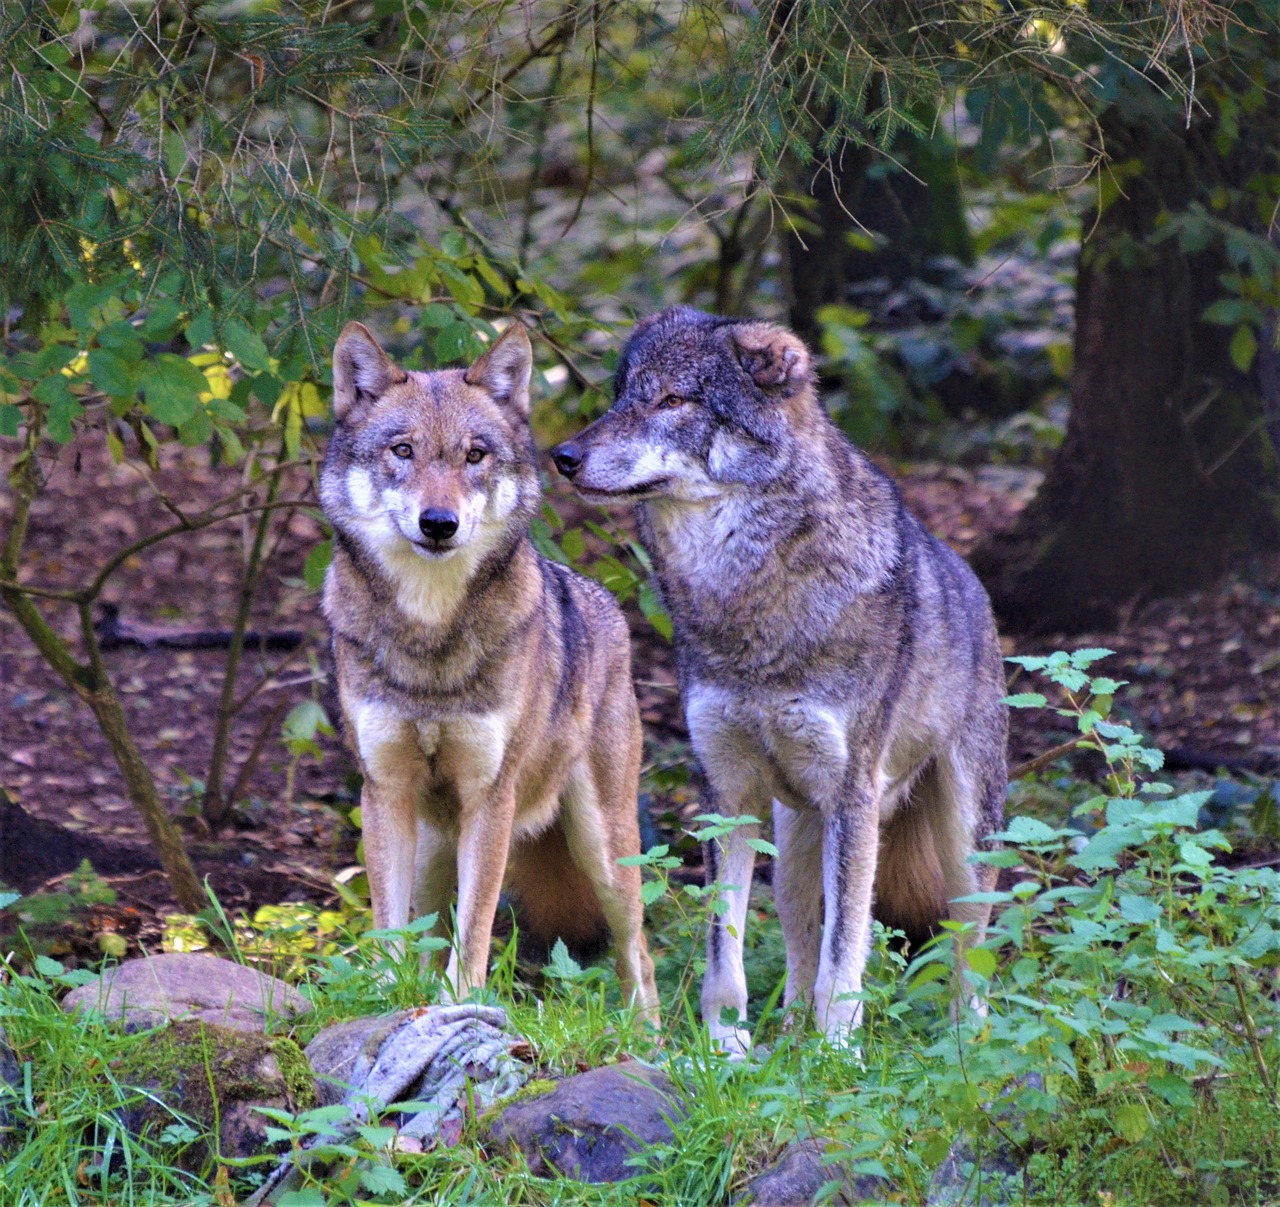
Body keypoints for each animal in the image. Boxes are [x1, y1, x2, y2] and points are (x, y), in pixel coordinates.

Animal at [320, 320, 659, 1020]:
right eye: (403, 450)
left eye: (474, 455)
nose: (439, 523)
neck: (429, 637)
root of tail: (606, 604)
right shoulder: (383, 790)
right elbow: (391, 927)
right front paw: (389, 1003)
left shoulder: (491, 797)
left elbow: (474, 925)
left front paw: (461, 1002)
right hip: (430, 844)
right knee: (423, 929)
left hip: (604, 852)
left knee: (640, 956)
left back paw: (651, 1039)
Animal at [551, 306, 1006, 1053]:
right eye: (620, 397)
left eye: (673, 400)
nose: (563, 456)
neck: (746, 603)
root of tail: (968, 576)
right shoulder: (725, 791)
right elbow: (724, 948)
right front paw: (726, 1047)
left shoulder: (853, 799)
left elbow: (845, 955)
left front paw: (838, 1052)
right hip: (793, 839)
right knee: (798, 941)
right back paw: (789, 1038)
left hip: (962, 841)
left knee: (971, 950)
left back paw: (964, 1040)